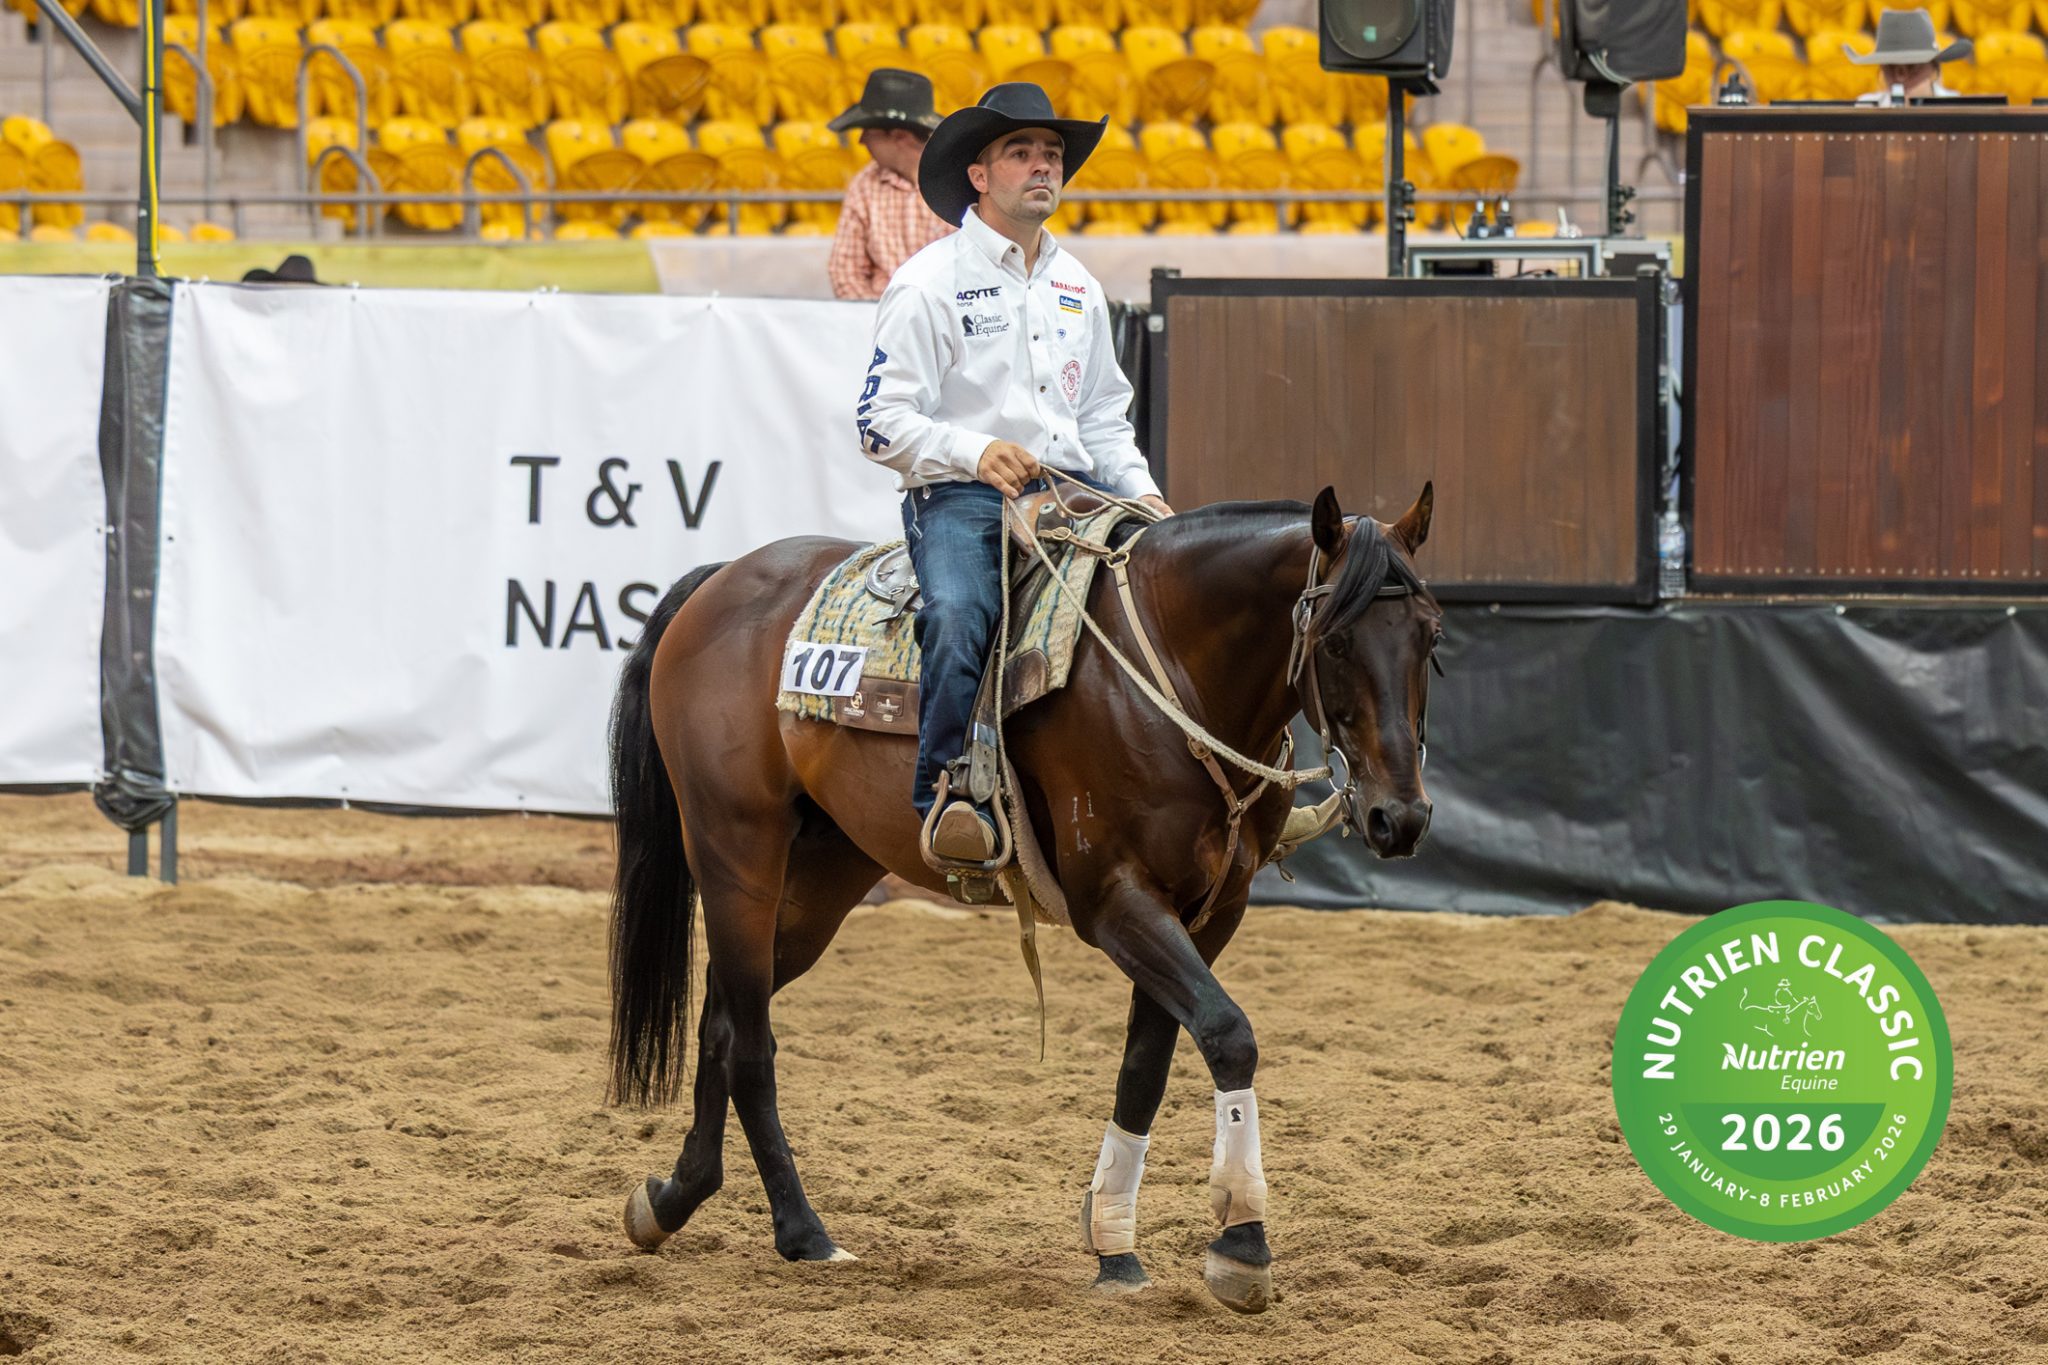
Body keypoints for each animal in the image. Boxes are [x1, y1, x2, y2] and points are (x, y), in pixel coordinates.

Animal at [606, 482, 1441, 1314]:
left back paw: (673, 1197)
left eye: (1431, 636)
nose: (1399, 818)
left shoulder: (1210, 910)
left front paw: (1113, 1244)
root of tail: (716, 582)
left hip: (821, 876)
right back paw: (803, 1231)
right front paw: (1242, 1243)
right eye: (1336, 642)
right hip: (736, 850)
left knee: (722, 1018)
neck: (1173, 672)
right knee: (748, 1041)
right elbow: (1229, 1034)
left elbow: (1149, 1064)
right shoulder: (1115, 901)